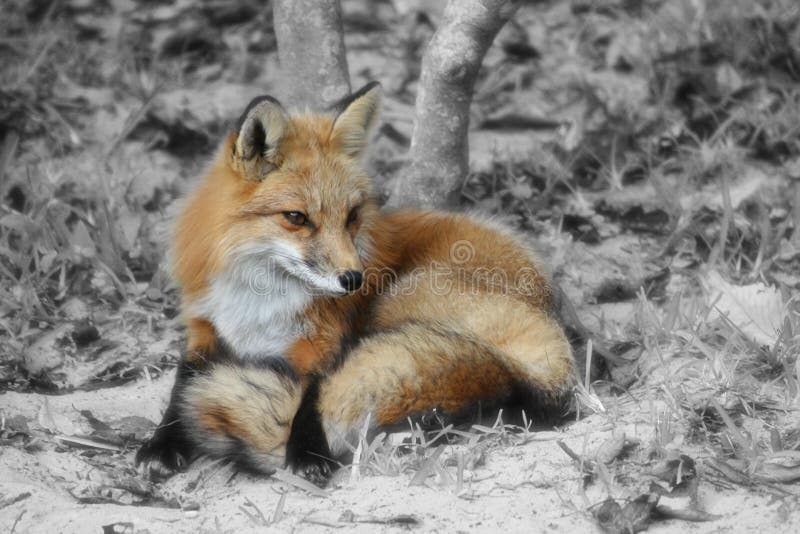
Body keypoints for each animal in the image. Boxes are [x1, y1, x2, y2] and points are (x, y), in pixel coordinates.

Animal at [135, 82, 576, 484]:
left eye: (351, 216)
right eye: (296, 217)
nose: (353, 279)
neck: (258, 304)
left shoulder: (325, 345)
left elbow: (314, 395)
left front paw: (307, 452)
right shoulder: (203, 331)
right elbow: (180, 389)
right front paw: (160, 445)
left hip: (398, 300)